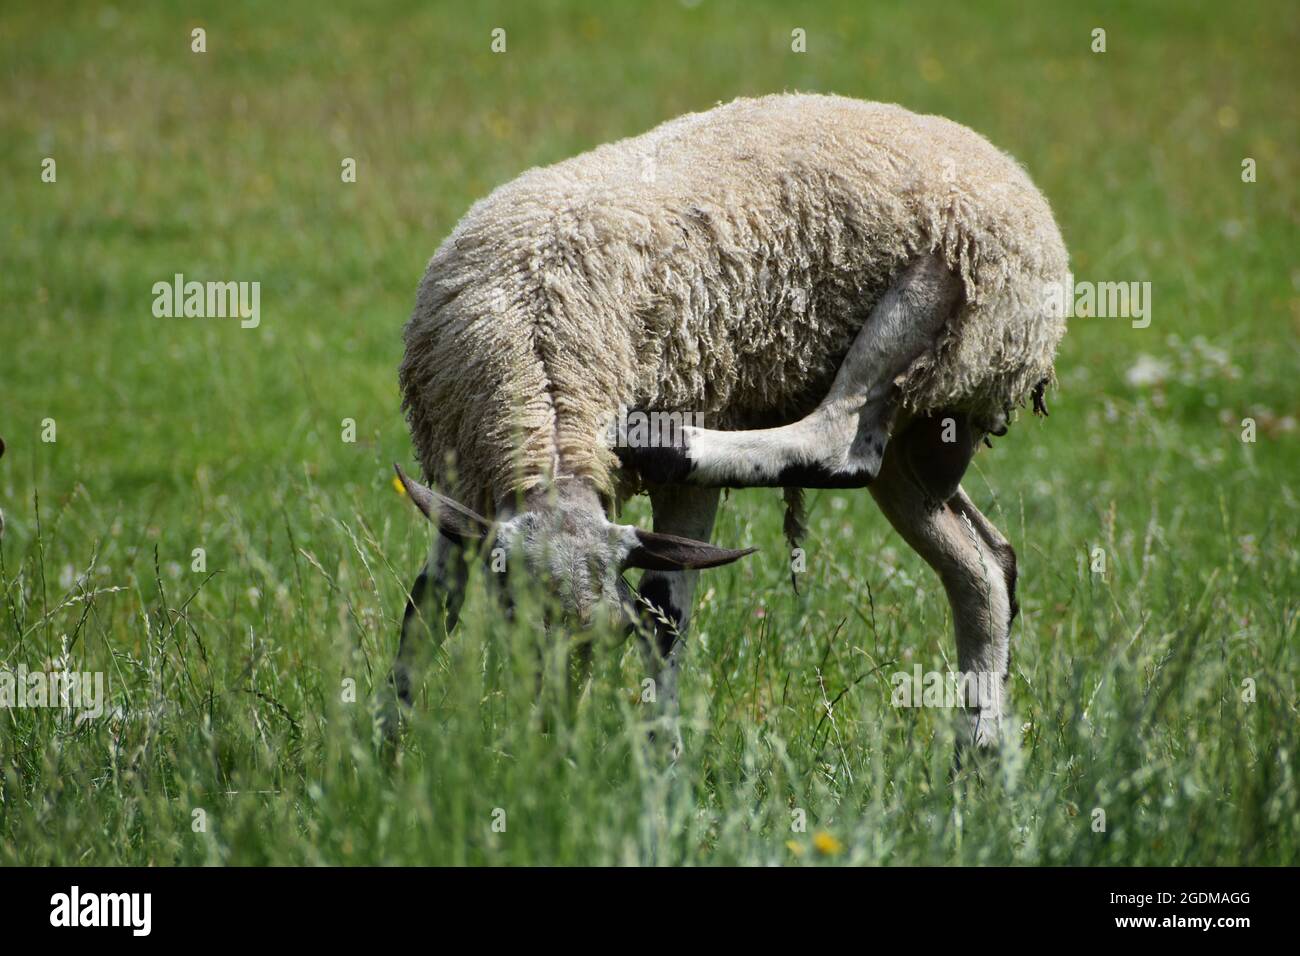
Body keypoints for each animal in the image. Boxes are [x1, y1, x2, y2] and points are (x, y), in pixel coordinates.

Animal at [391, 93, 1069, 753]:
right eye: (510, 616)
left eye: (611, 634)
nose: (553, 745)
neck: (549, 389)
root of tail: (1026, 192)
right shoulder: (463, 479)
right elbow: (427, 610)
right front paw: (390, 749)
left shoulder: (683, 481)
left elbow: (665, 621)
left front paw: (659, 767)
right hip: (927, 428)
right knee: (984, 569)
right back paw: (977, 757)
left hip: (937, 297)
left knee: (843, 444)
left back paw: (661, 442)